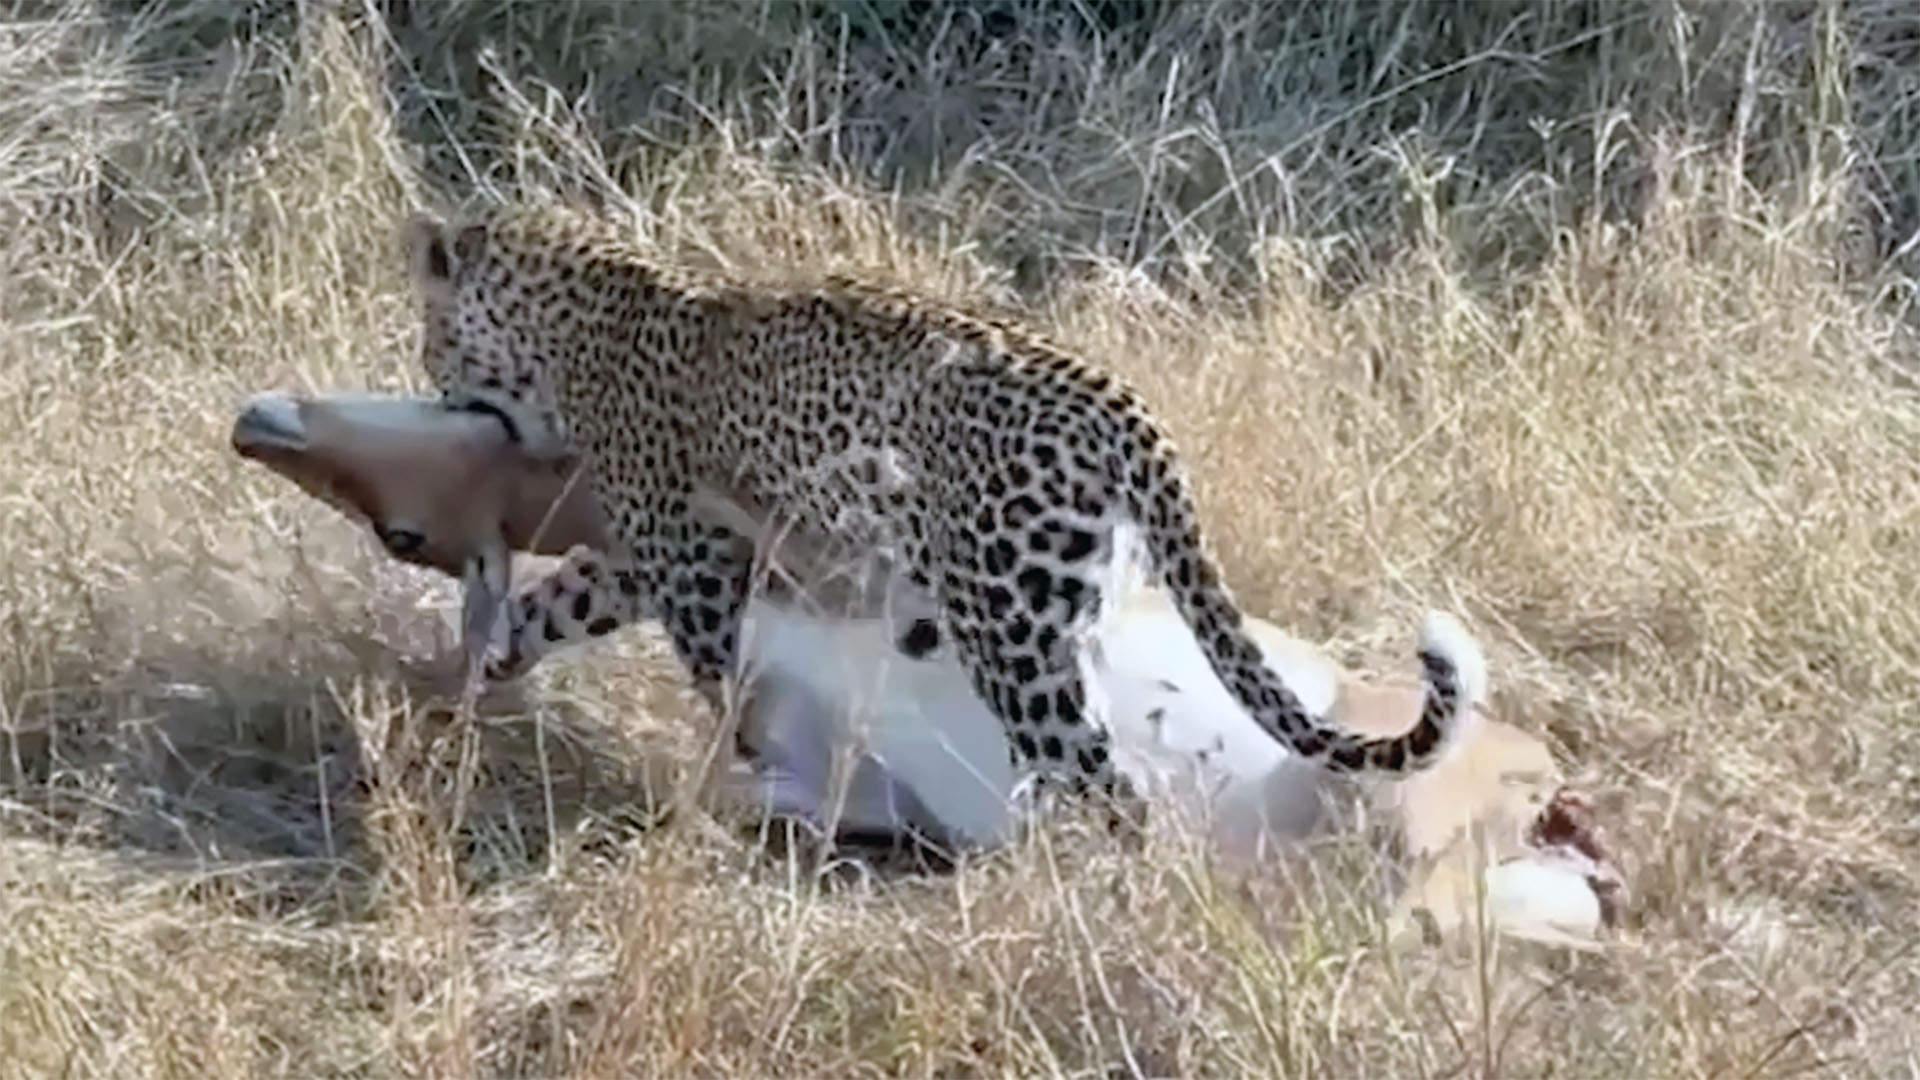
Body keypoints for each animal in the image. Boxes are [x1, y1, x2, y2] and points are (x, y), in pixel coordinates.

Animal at [400, 199, 1488, 820]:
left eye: (432, 340)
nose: (428, 377)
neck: (576, 323)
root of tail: (1116, 401)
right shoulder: (653, 552)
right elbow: (557, 602)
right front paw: (478, 668)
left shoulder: (688, 561)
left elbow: (721, 680)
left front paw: (748, 772)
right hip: (1059, 618)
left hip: (1012, 634)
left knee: (1108, 790)